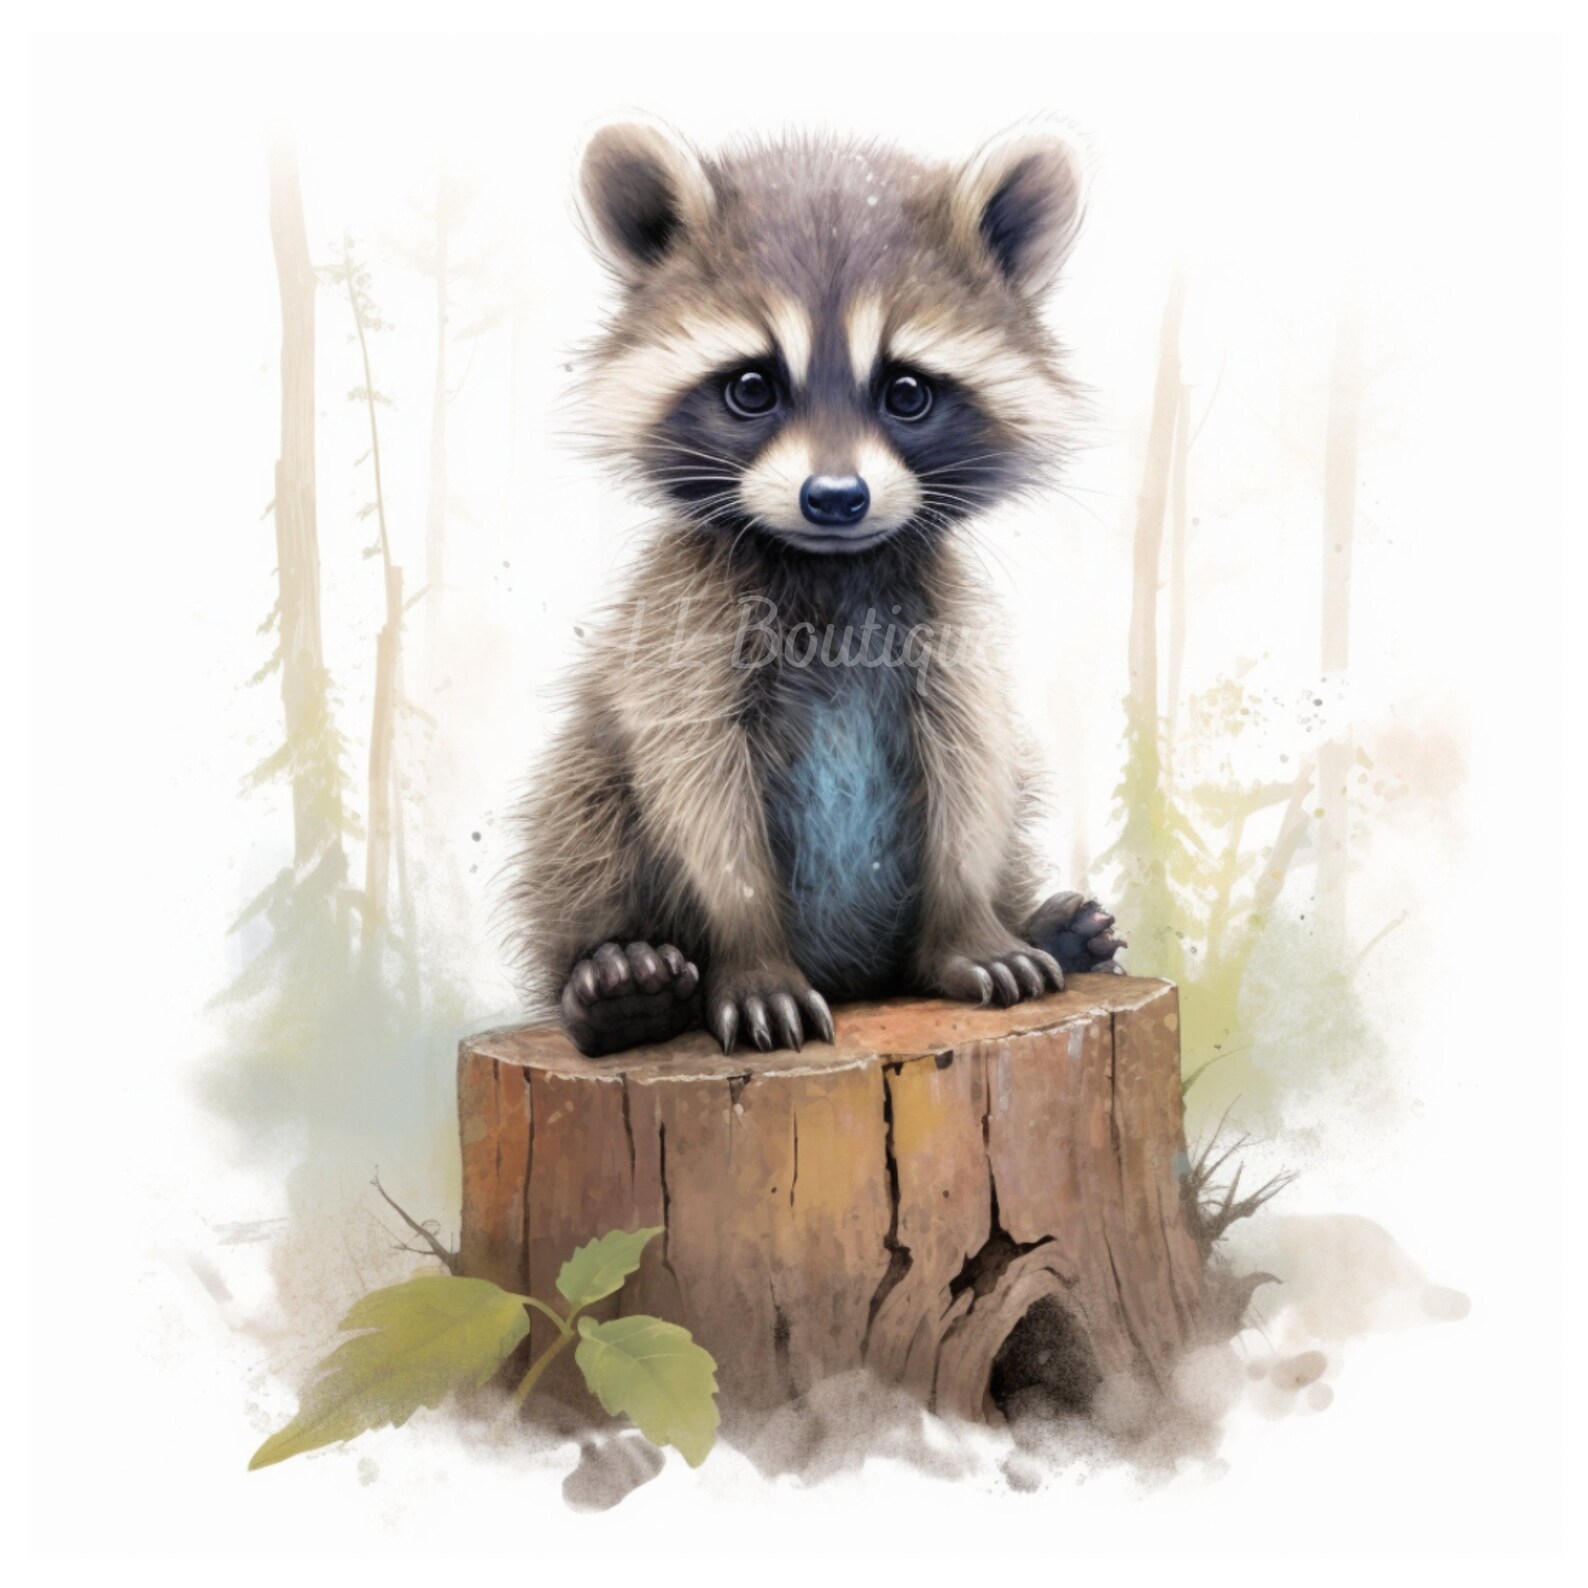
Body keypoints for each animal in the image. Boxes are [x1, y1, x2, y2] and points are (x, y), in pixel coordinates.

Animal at [509, 118, 1124, 1057]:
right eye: (751, 388)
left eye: (906, 392)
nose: (835, 498)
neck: (829, 565)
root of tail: (859, 976)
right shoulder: (686, 634)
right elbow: (698, 796)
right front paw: (750, 951)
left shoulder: (946, 633)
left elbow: (974, 770)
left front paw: (968, 930)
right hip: (584, 821)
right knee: (583, 811)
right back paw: (612, 989)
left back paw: (1041, 927)